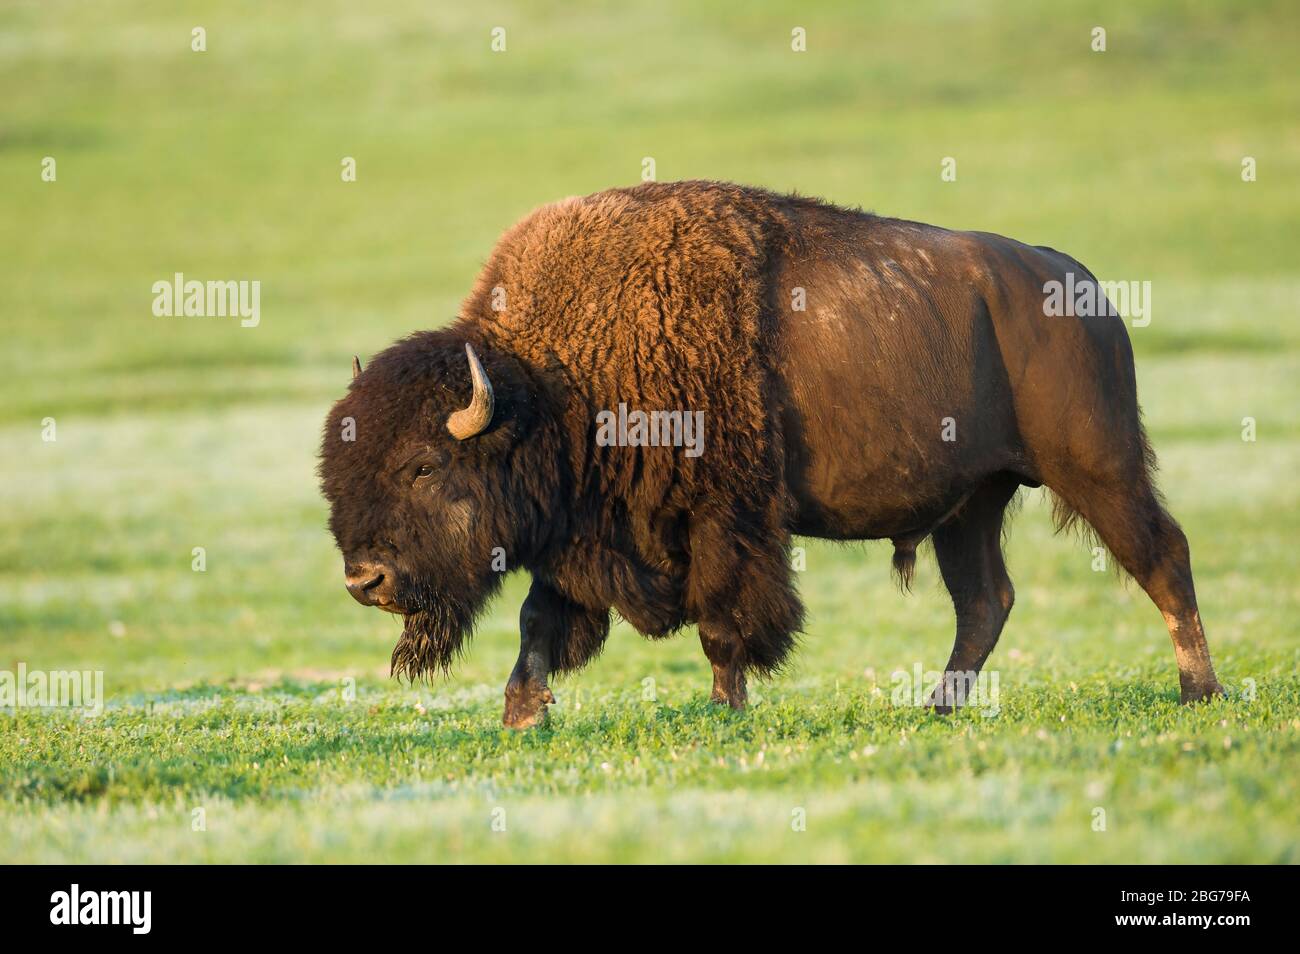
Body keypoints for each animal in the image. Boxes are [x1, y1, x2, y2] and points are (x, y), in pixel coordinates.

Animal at [319, 180, 1223, 728]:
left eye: (423, 466)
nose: (364, 581)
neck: (550, 385)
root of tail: (1079, 284)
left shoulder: (726, 519)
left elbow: (724, 620)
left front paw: (727, 709)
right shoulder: (578, 533)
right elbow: (540, 618)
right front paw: (522, 714)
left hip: (1098, 468)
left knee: (1162, 556)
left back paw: (1199, 692)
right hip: (971, 504)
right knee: (985, 600)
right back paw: (937, 707)